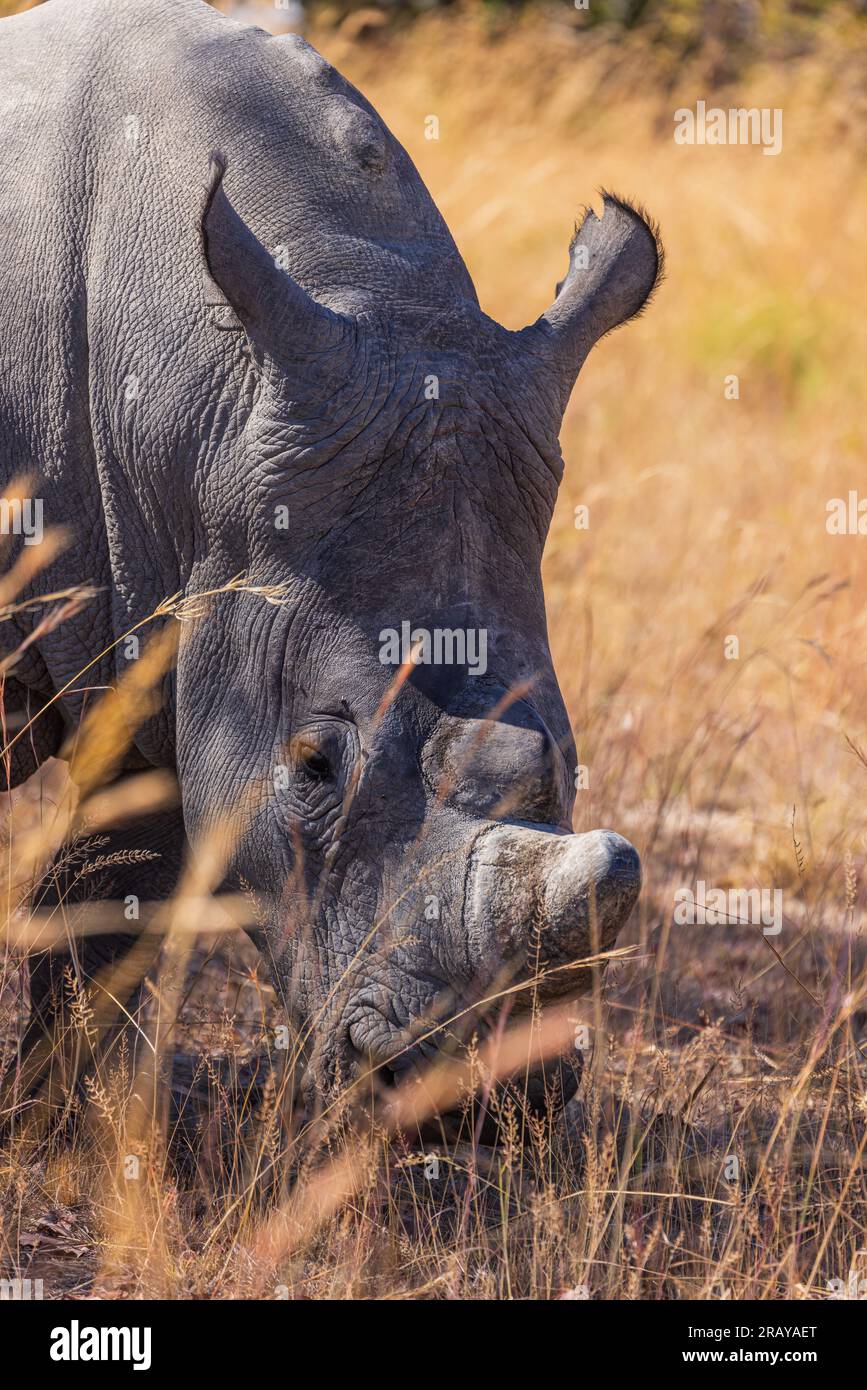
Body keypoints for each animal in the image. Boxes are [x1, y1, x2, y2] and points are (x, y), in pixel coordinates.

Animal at [0, 0, 660, 1127]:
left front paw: (58, 1126)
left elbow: (109, 902)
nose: (474, 1101)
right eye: (313, 764)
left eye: (571, 763)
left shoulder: (166, 635)